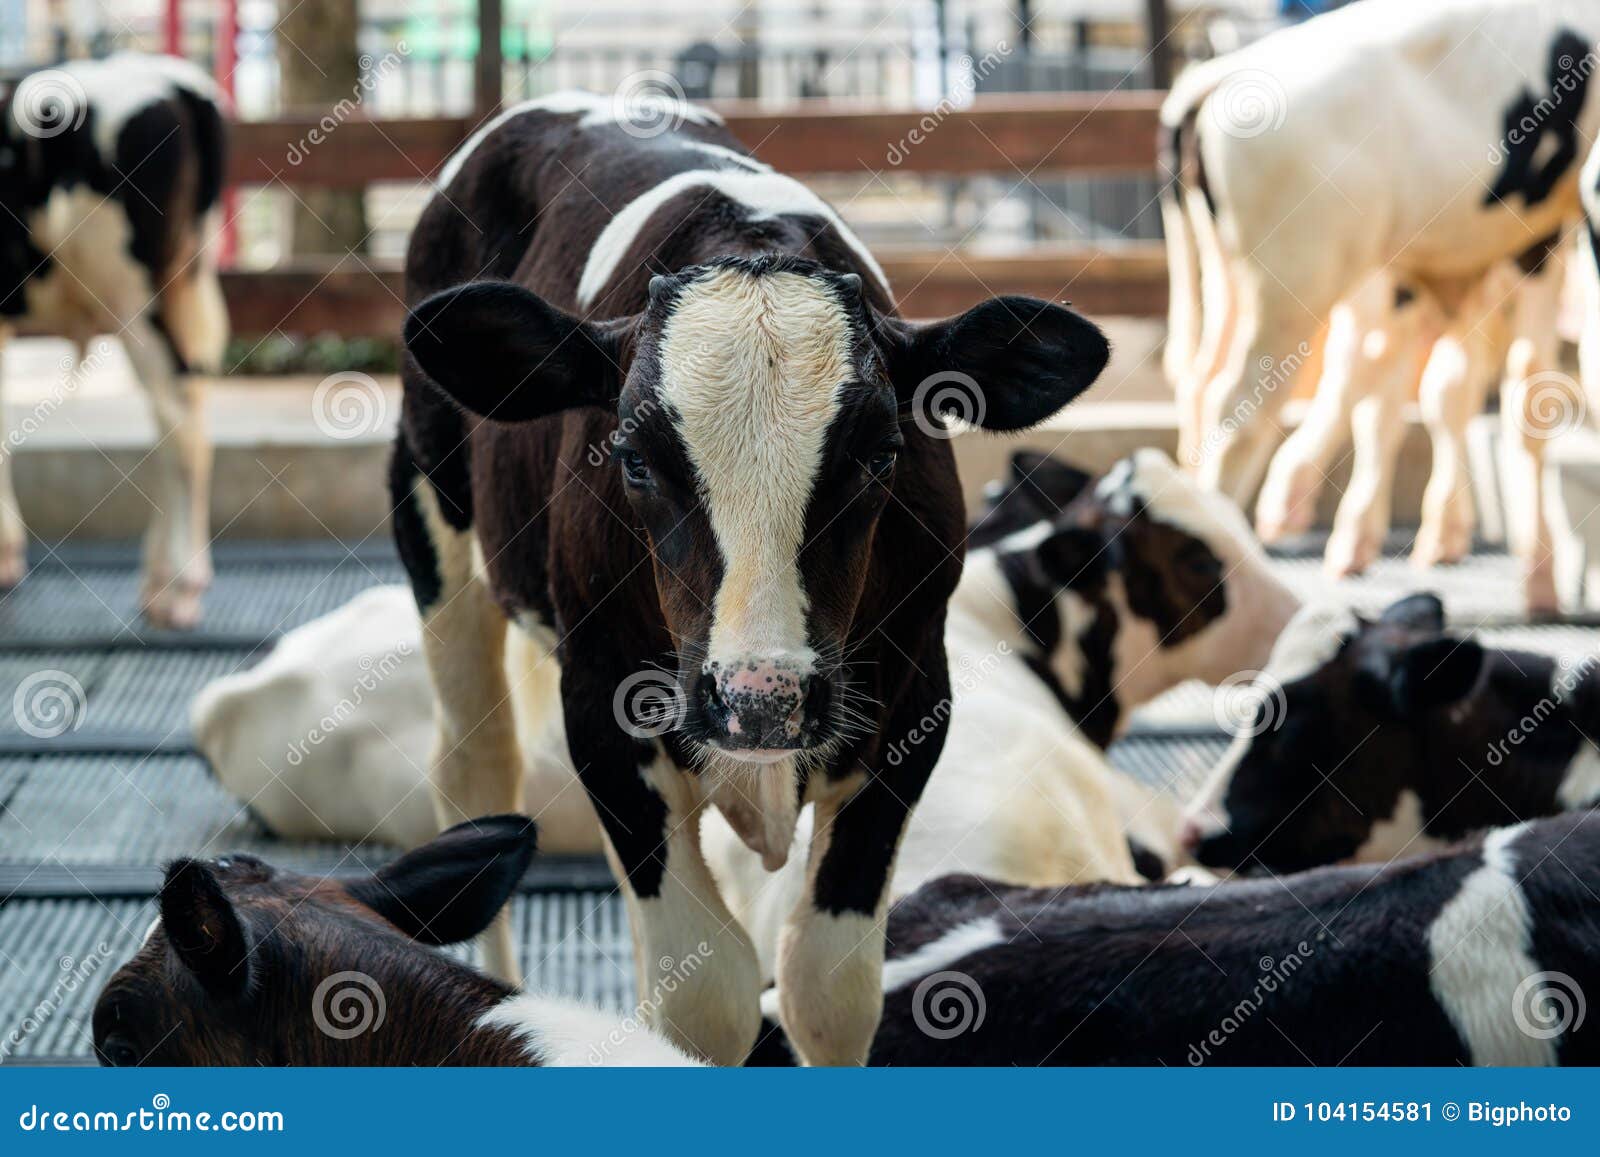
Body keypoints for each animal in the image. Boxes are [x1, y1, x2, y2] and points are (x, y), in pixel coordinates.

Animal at [0, 53, 228, 627]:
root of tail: (174, 81)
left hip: (135, 294)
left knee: (178, 419)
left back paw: (178, 587)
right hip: (186, 279)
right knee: (187, 406)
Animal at [392, 90, 1109, 1065]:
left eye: (880, 455)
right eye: (635, 459)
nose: (760, 697)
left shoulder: (916, 696)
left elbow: (825, 986)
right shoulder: (601, 701)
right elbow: (708, 995)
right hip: (433, 516)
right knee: (475, 771)